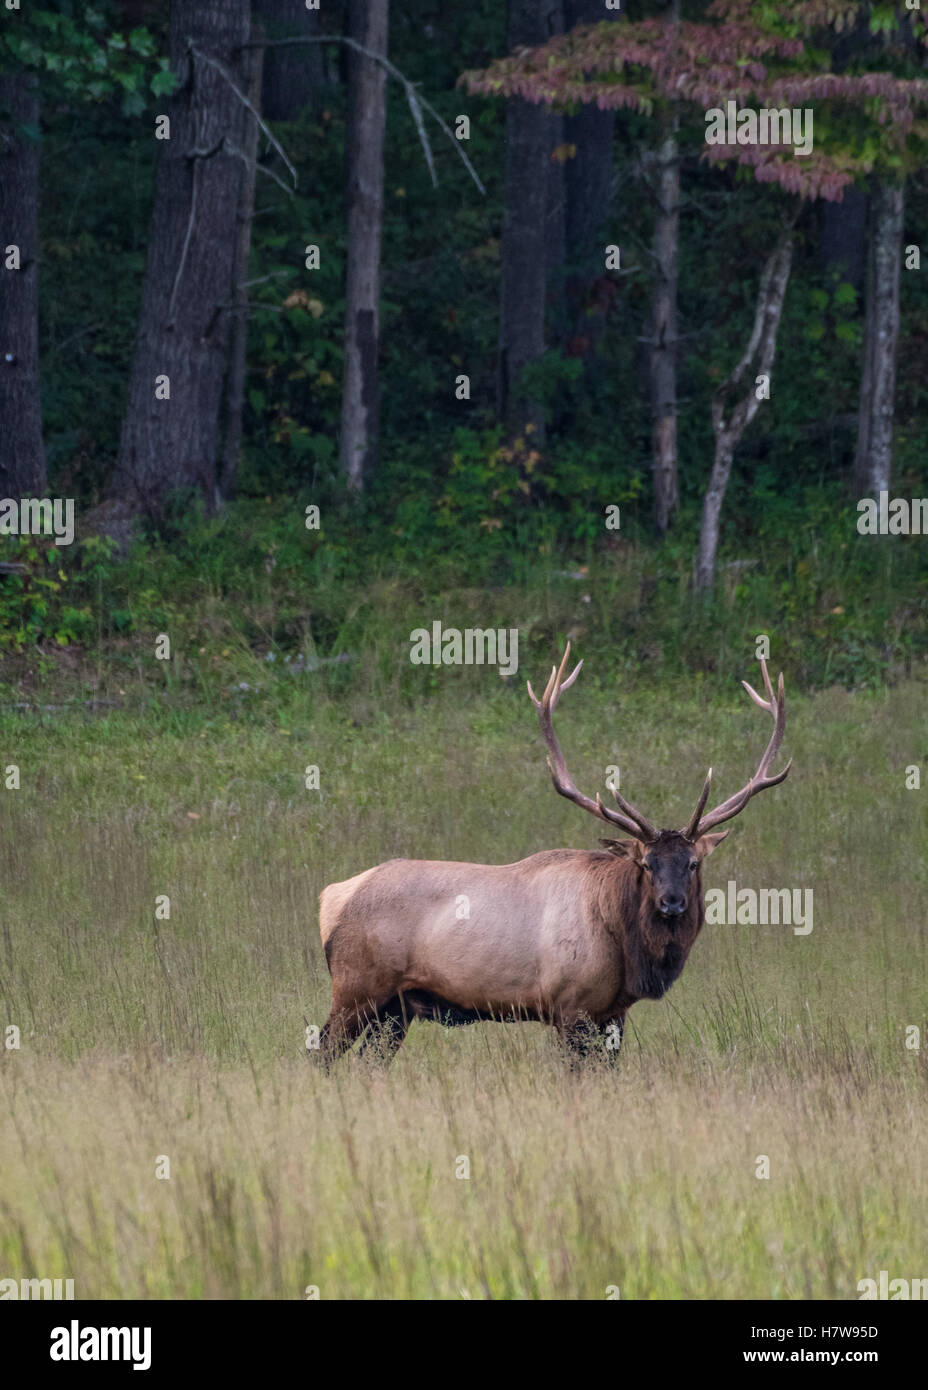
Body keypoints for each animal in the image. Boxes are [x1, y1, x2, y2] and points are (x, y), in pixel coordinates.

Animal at [317, 645, 790, 1065]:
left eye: (693, 863)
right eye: (645, 864)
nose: (671, 903)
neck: (625, 947)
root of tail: (330, 897)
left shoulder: (613, 1013)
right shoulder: (569, 1007)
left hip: (396, 1008)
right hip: (356, 987)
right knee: (322, 1051)